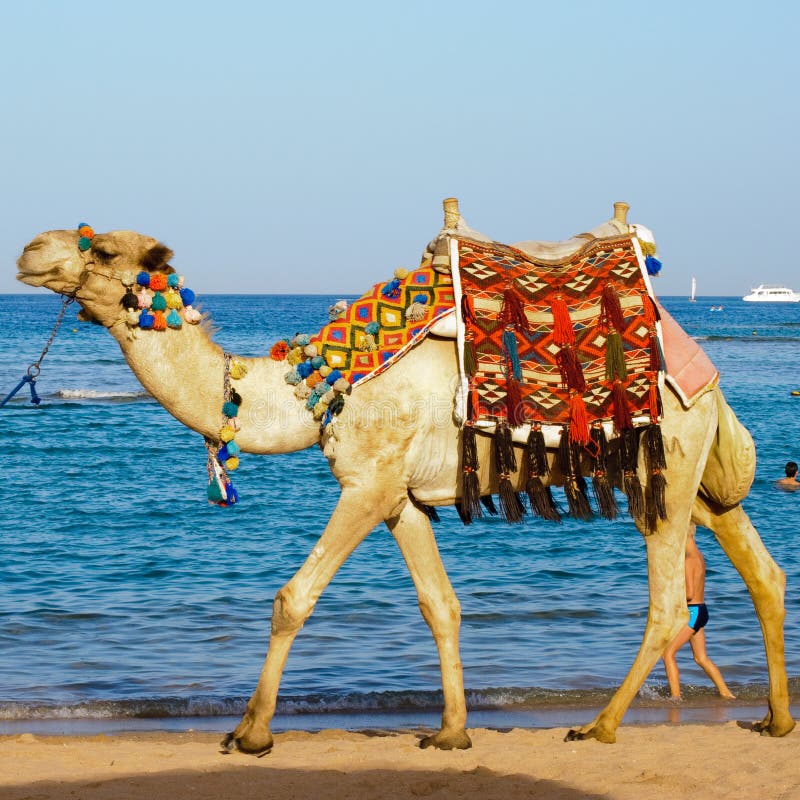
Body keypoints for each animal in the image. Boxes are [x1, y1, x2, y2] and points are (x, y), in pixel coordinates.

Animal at [16, 201, 794, 756]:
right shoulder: (401, 500)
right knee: (763, 571)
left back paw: (599, 725)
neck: (312, 388)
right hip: (697, 482)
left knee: (666, 604)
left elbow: (293, 599)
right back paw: (777, 721)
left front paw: (251, 733)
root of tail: (703, 370)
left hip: (664, 475)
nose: (27, 251)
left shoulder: (366, 484)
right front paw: (451, 731)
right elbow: (439, 605)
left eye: (103, 248)